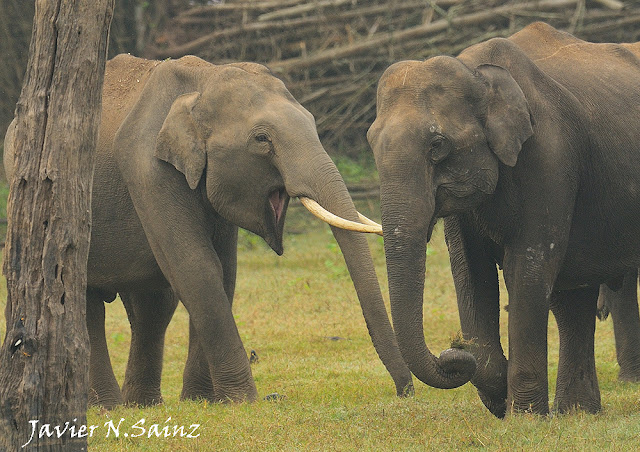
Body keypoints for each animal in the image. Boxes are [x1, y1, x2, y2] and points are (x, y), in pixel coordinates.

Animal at [4, 53, 413, 408]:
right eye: (262, 139)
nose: (405, 391)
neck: (202, 81)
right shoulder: (146, 168)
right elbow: (197, 267)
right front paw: (244, 401)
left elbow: (223, 271)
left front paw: (204, 403)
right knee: (82, 298)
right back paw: (107, 407)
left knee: (154, 302)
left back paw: (140, 407)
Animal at [366, 21, 640, 417]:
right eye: (371, 143)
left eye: (438, 146)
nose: (453, 350)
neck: (478, 74)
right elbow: (471, 273)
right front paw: (500, 394)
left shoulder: (550, 155)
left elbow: (527, 268)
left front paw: (524, 417)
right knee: (573, 296)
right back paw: (578, 413)